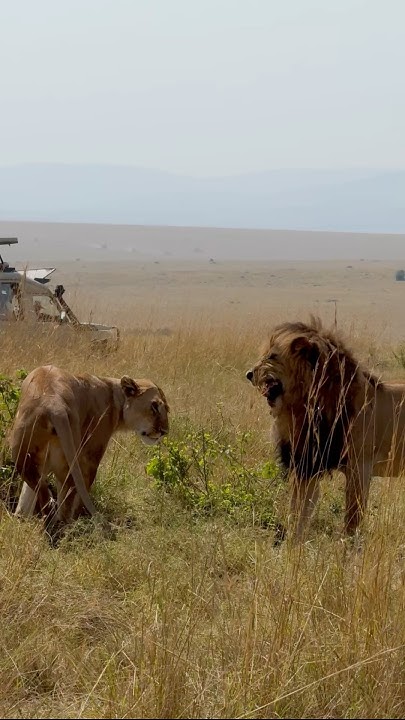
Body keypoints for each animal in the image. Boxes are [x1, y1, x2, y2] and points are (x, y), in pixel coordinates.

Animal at [9, 364, 169, 530]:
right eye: (154, 407)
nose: (164, 431)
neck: (115, 399)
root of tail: (55, 405)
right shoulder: (92, 454)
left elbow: (27, 495)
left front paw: (22, 518)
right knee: (65, 504)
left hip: (22, 459)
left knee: (45, 495)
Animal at [246, 317, 405, 540]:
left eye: (272, 356)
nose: (249, 374)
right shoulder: (308, 466)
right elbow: (299, 511)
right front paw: (293, 544)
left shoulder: (360, 467)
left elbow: (352, 518)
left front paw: (346, 545)